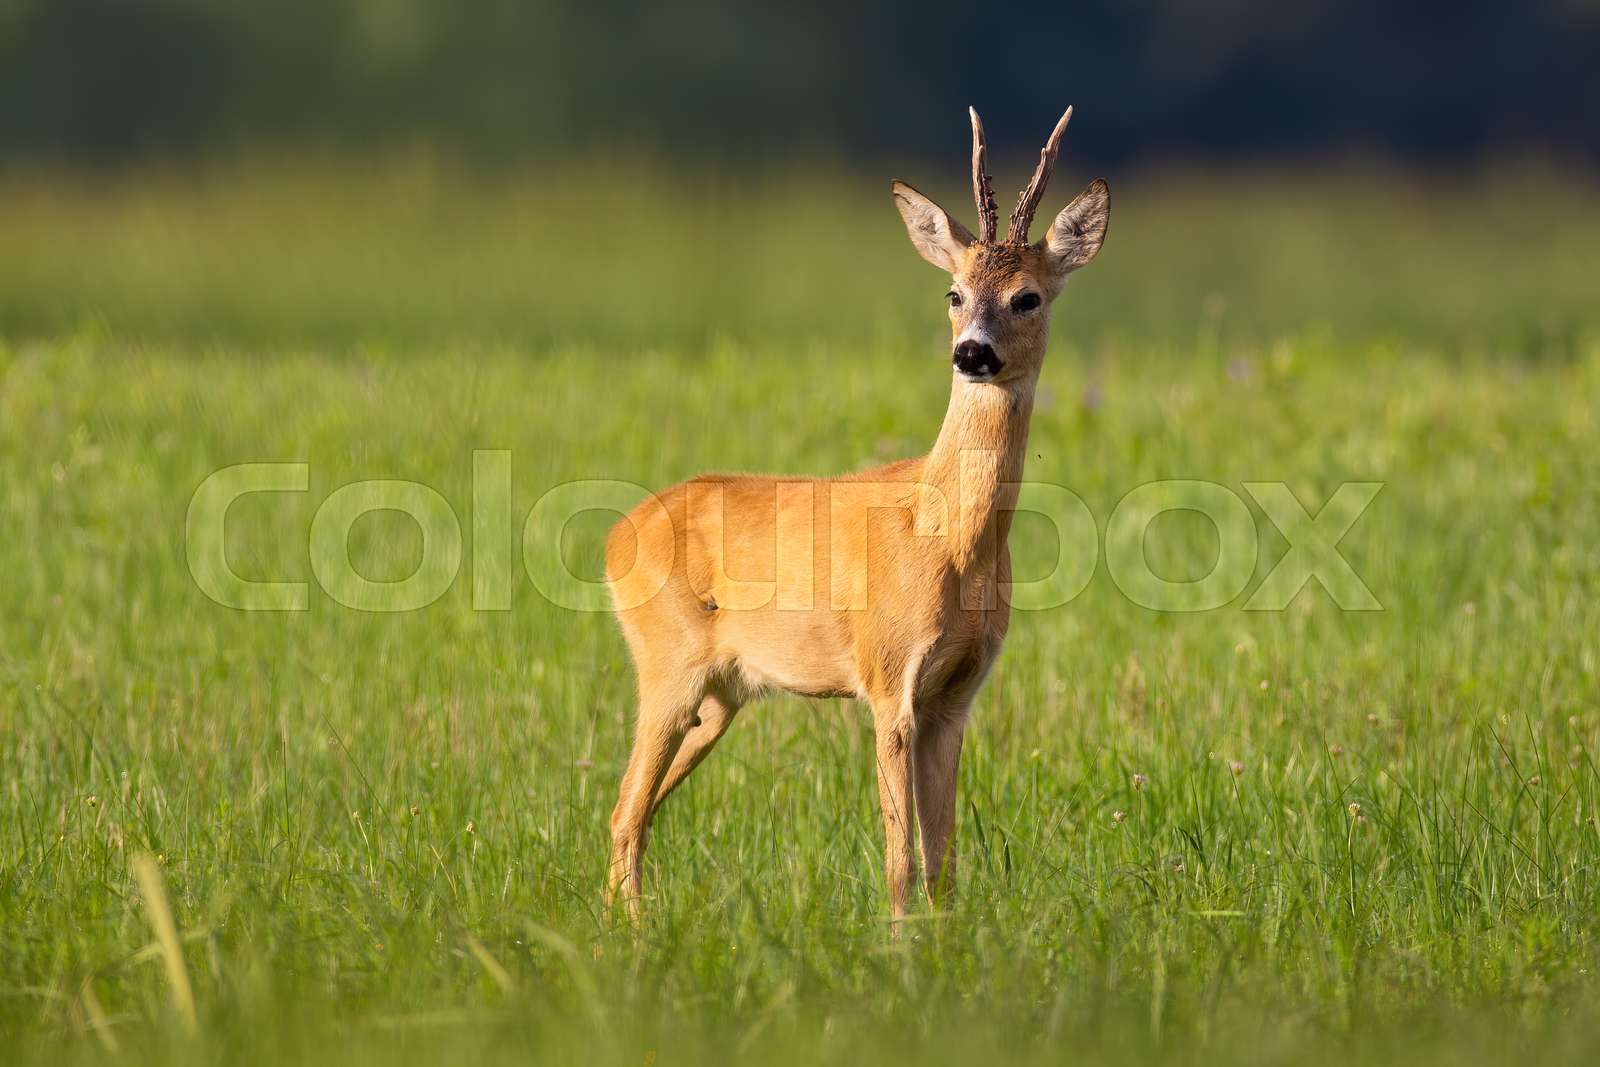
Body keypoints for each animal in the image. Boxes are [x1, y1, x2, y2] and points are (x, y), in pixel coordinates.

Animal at [604, 105, 1110, 922]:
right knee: (624, 812)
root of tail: (616, 535)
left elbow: (943, 865)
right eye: (953, 292)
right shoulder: (887, 674)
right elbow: (901, 861)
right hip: (667, 663)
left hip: (720, 696)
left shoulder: (956, 694)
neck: (949, 541)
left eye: (1027, 296)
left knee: (633, 813)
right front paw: (897, 943)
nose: (972, 354)